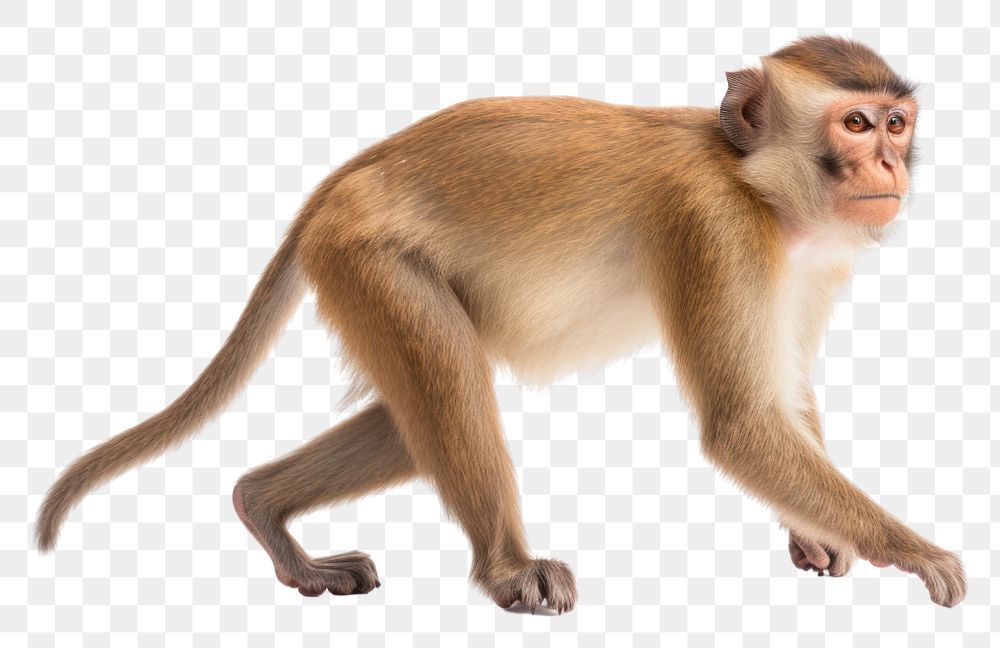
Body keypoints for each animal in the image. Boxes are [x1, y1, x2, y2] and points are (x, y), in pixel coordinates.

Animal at [35, 36, 966, 612]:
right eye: (855, 123)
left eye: (896, 123)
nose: (889, 164)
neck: (755, 181)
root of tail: (344, 181)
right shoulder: (714, 226)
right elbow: (742, 422)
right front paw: (911, 546)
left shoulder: (814, 256)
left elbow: (784, 398)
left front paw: (815, 533)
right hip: (369, 257)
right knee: (452, 382)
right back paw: (510, 569)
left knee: (414, 412)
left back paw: (264, 508)